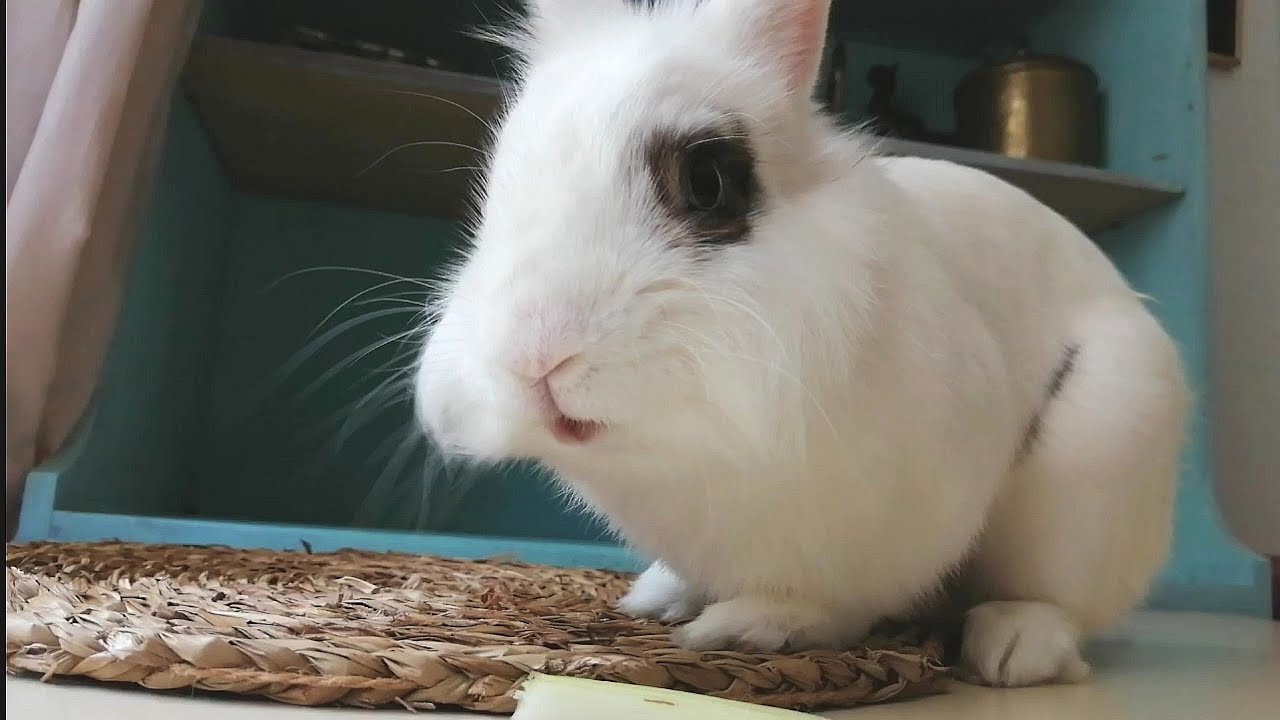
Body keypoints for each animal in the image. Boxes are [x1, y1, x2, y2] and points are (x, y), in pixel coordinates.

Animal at [413, 0, 1189, 688]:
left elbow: (835, 604)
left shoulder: (887, 529)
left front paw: (750, 627)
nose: (534, 357)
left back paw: (1011, 648)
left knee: (1057, 601)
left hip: (1094, 469)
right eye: (496, 189)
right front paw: (677, 603)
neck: (692, 452)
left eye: (707, 181)